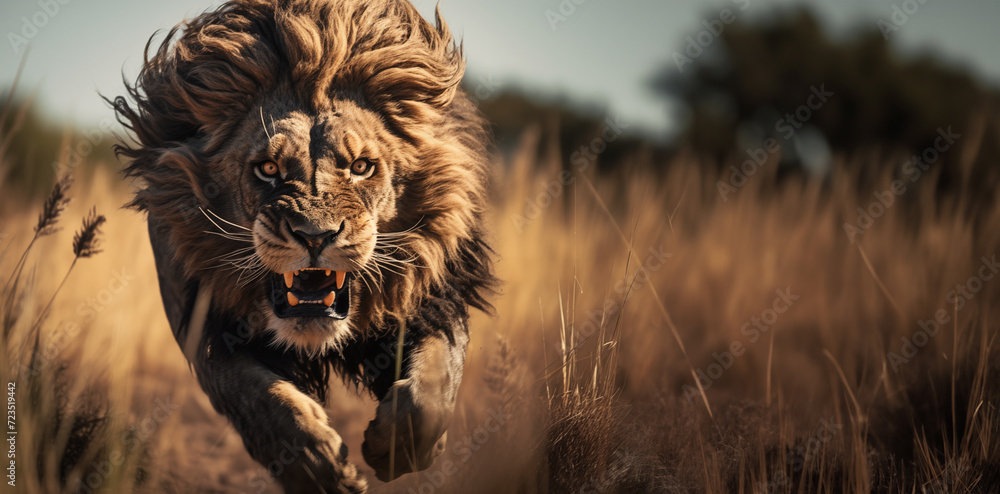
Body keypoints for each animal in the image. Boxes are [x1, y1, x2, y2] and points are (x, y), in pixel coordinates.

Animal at [110, 0, 497, 491]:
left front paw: (399, 449)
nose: (315, 235)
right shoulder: (202, 320)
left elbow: (433, 383)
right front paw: (317, 467)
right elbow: (257, 396)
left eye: (361, 167)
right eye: (268, 169)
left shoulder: (438, 296)